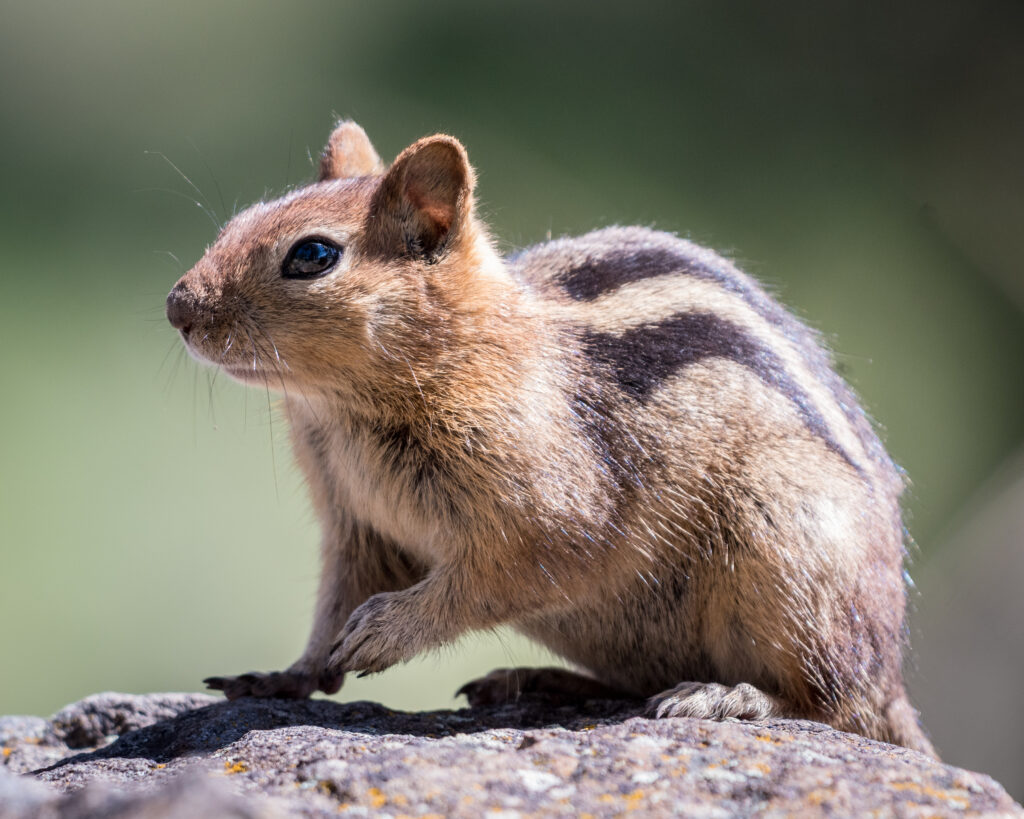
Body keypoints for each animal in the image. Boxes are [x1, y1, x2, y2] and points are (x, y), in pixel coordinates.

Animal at [166, 121, 935, 756]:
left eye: (313, 255)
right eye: (237, 221)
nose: (177, 306)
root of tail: (896, 681)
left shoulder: (547, 508)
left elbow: (496, 576)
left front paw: (388, 628)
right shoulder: (357, 523)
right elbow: (332, 605)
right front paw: (285, 675)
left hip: (787, 544)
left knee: (830, 703)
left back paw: (725, 697)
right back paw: (542, 681)